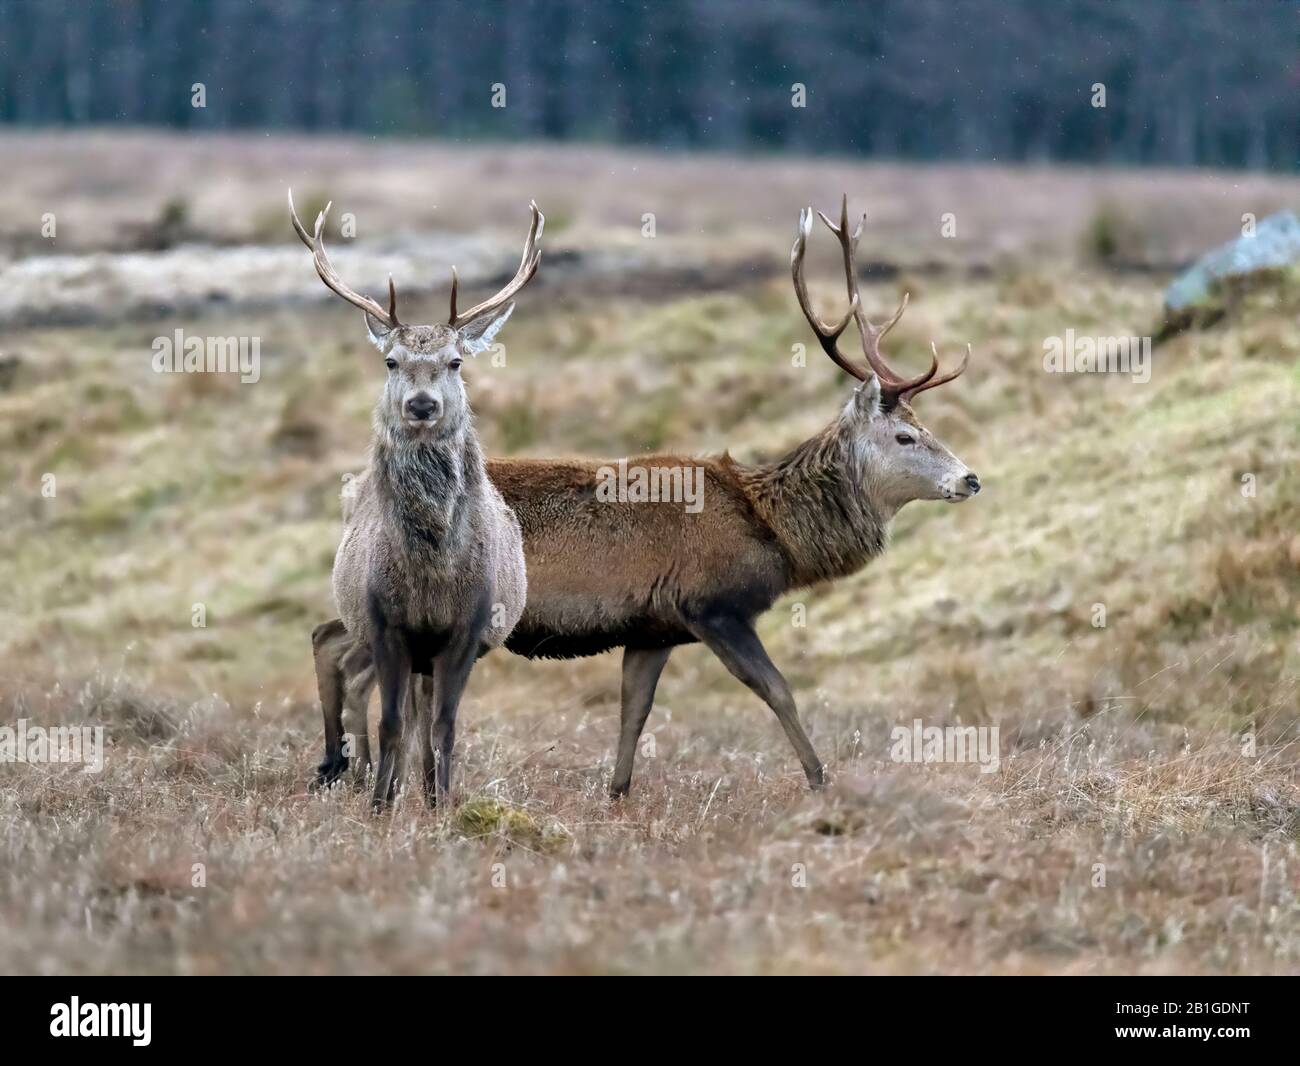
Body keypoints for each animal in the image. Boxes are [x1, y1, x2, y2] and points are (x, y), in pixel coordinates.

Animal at [290, 190, 539, 810]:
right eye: (391, 362)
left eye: (456, 361)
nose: (422, 405)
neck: (431, 572)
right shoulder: (386, 623)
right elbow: (392, 723)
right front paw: (381, 805)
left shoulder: (467, 628)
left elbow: (444, 726)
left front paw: (443, 804)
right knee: (351, 666)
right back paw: (354, 771)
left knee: (423, 711)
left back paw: (419, 787)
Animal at [311, 196, 979, 798]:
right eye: (905, 435)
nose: (970, 478)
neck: (773, 532)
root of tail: (353, 492)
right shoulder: (711, 603)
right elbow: (778, 690)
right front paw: (819, 780)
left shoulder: (652, 627)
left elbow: (634, 713)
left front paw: (618, 791)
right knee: (348, 657)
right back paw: (355, 769)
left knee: (330, 639)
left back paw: (348, 767)